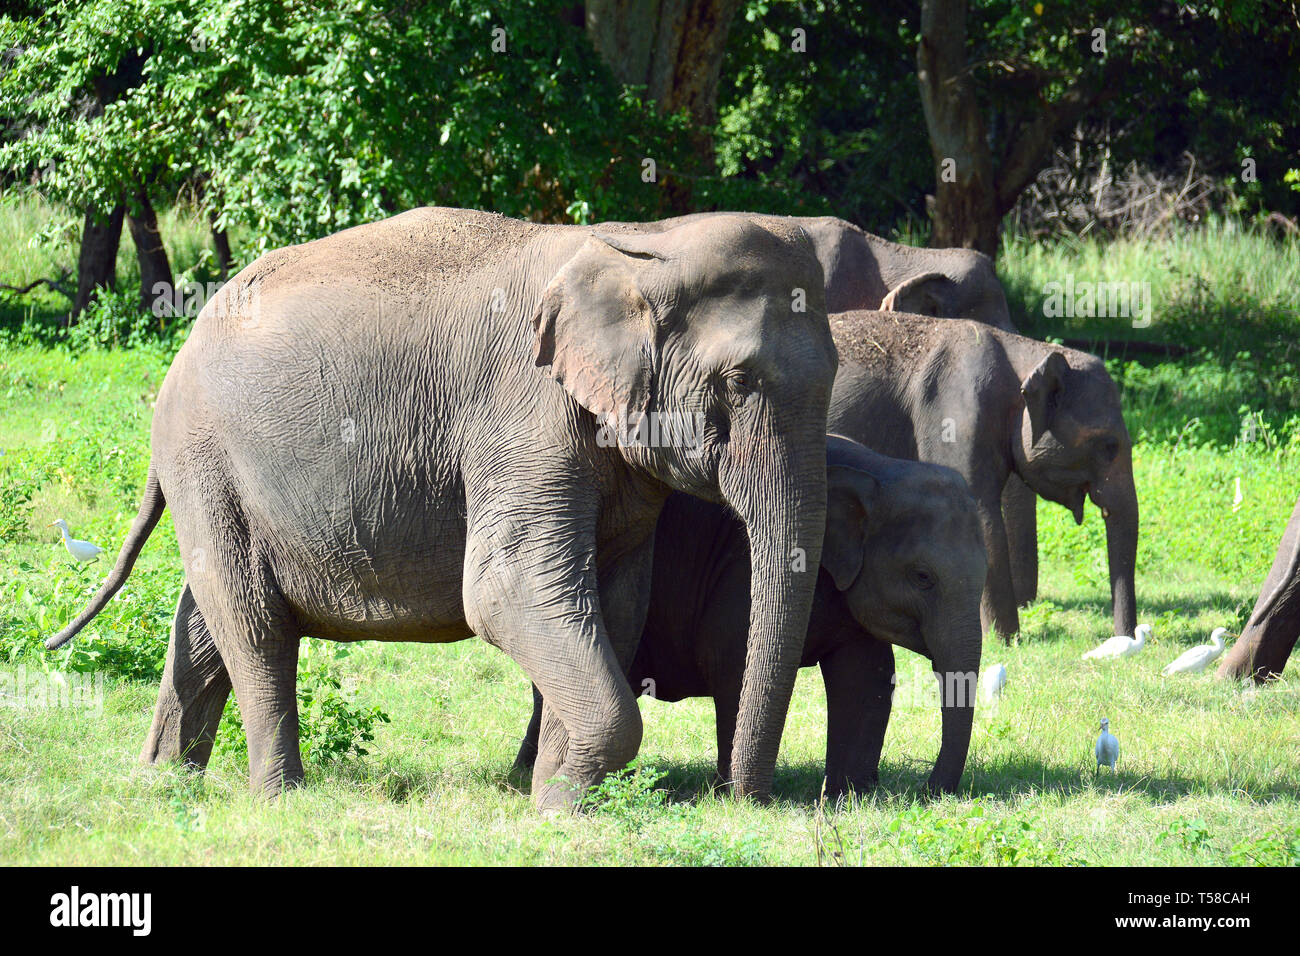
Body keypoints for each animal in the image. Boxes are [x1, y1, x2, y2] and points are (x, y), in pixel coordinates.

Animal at [45, 207, 840, 812]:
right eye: (738, 381)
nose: (743, 799)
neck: (641, 242)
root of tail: (182, 349)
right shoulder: (524, 419)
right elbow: (504, 591)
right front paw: (560, 808)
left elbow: (615, 602)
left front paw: (553, 795)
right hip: (206, 460)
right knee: (254, 623)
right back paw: (279, 798)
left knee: (209, 620)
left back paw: (163, 784)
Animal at [517, 435, 987, 796]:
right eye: (923, 577)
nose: (927, 790)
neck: (882, 468)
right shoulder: (744, 567)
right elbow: (733, 664)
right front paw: (731, 794)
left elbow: (866, 678)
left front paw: (848, 795)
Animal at [826, 310, 1139, 641]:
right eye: (1109, 445)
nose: (1125, 638)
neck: (1026, 352)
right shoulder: (953, 416)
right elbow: (980, 512)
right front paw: (1006, 640)